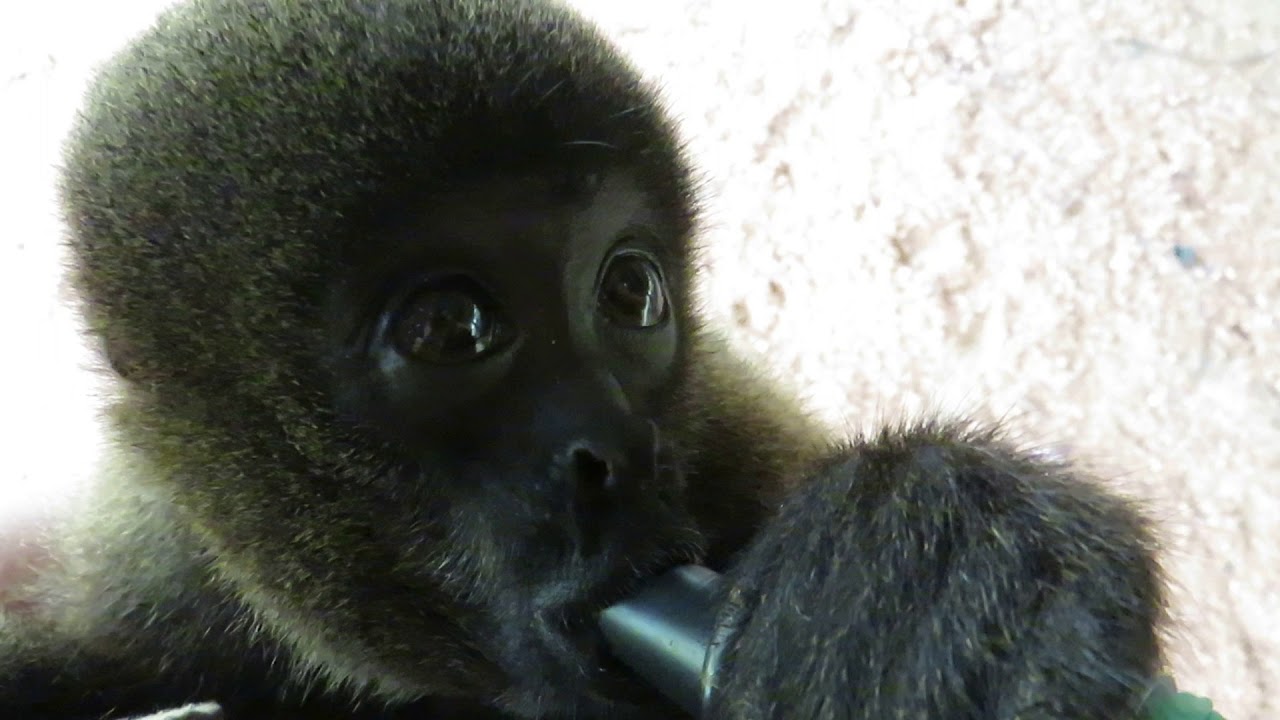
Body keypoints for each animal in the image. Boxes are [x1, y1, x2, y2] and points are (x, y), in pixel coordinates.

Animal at [0, 0, 1167, 718]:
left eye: (629, 291)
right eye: (447, 329)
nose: (613, 452)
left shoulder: (731, 443)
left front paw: (940, 559)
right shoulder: (149, 589)